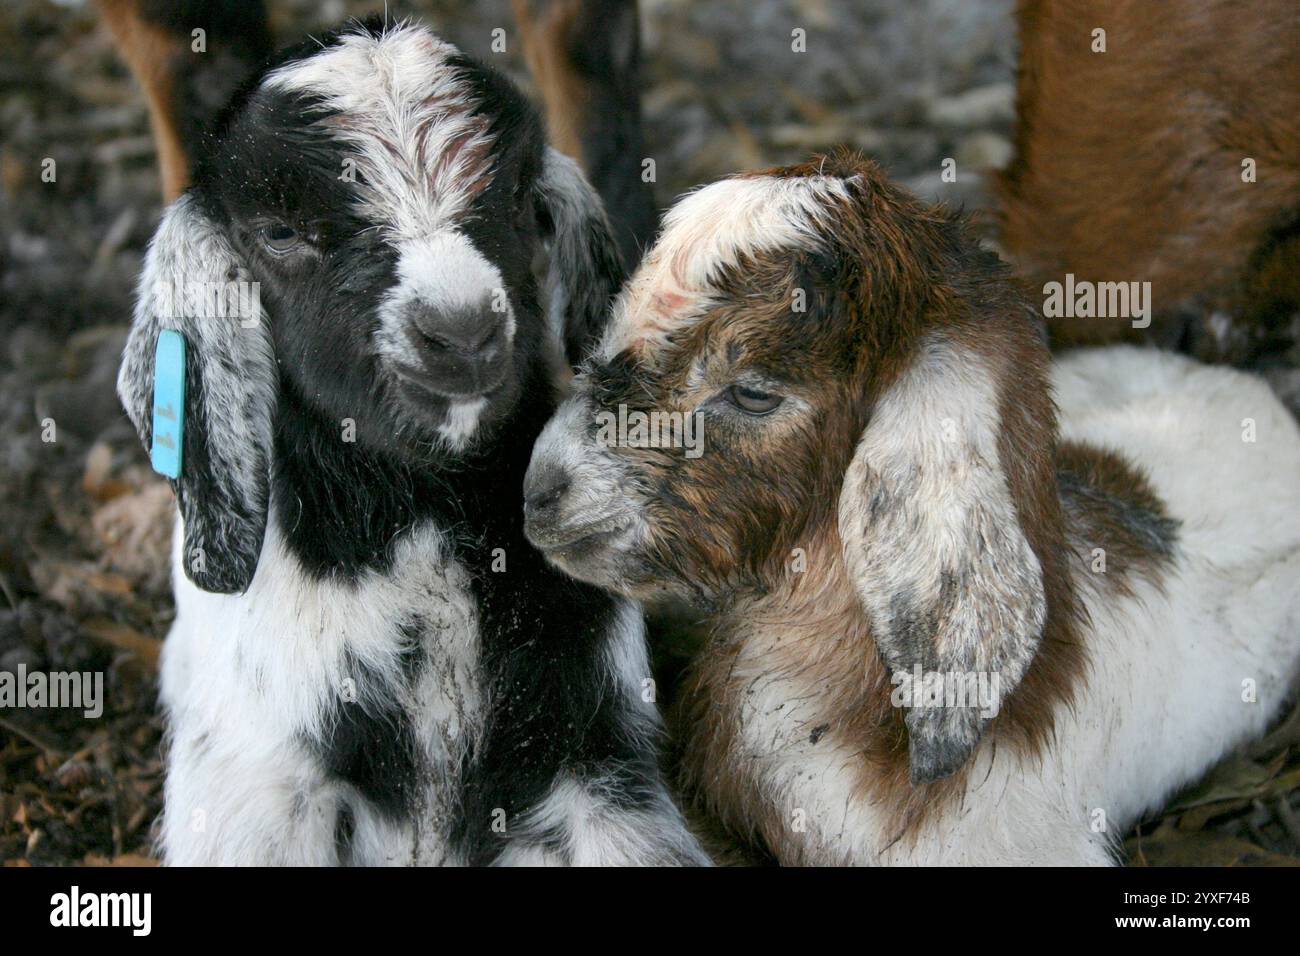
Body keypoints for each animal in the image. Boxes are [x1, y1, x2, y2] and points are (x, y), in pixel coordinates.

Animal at [116, 20, 706, 866]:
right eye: (277, 232)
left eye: (519, 197)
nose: (461, 332)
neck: (423, 522)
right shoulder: (260, 776)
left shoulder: (598, 761)